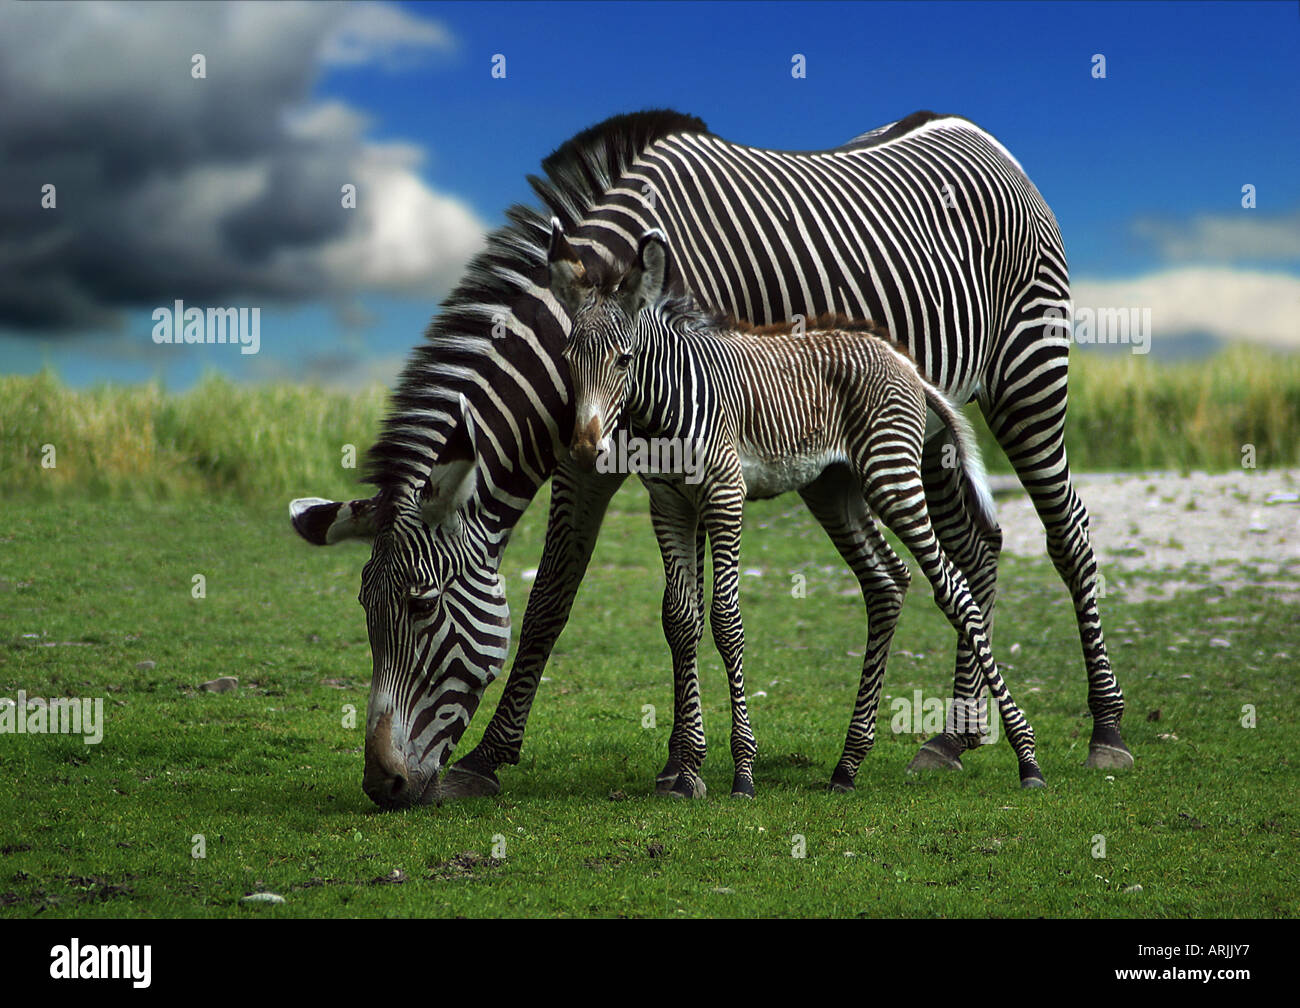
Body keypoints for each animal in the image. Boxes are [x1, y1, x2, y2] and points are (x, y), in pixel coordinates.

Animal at [549, 221, 1043, 795]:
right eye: (568, 358)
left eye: (624, 360)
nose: (585, 449)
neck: (667, 403)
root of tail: (904, 361)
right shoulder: (668, 503)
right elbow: (679, 620)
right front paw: (687, 770)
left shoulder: (724, 492)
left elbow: (726, 620)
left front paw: (742, 771)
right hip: (836, 487)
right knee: (888, 581)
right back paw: (848, 765)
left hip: (891, 477)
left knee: (955, 591)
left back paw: (1026, 757)